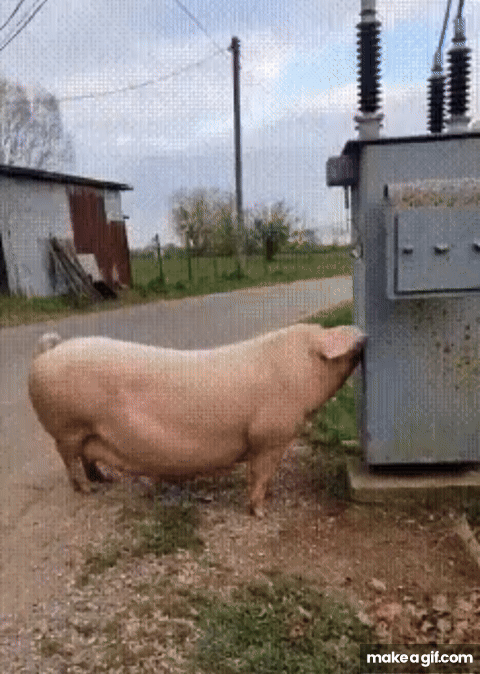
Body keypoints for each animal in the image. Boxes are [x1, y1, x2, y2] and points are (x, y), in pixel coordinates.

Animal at [28, 324, 366, 517]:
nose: (364, 333)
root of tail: (50, 350)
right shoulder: (269, 436)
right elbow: (260, 473)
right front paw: (260, 512)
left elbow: (264, 475)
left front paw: (268, 498)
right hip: (67, 428)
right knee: (70, 460)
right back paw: (88, 490)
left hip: (86, 431)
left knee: (87, 458)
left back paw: (105, 480)